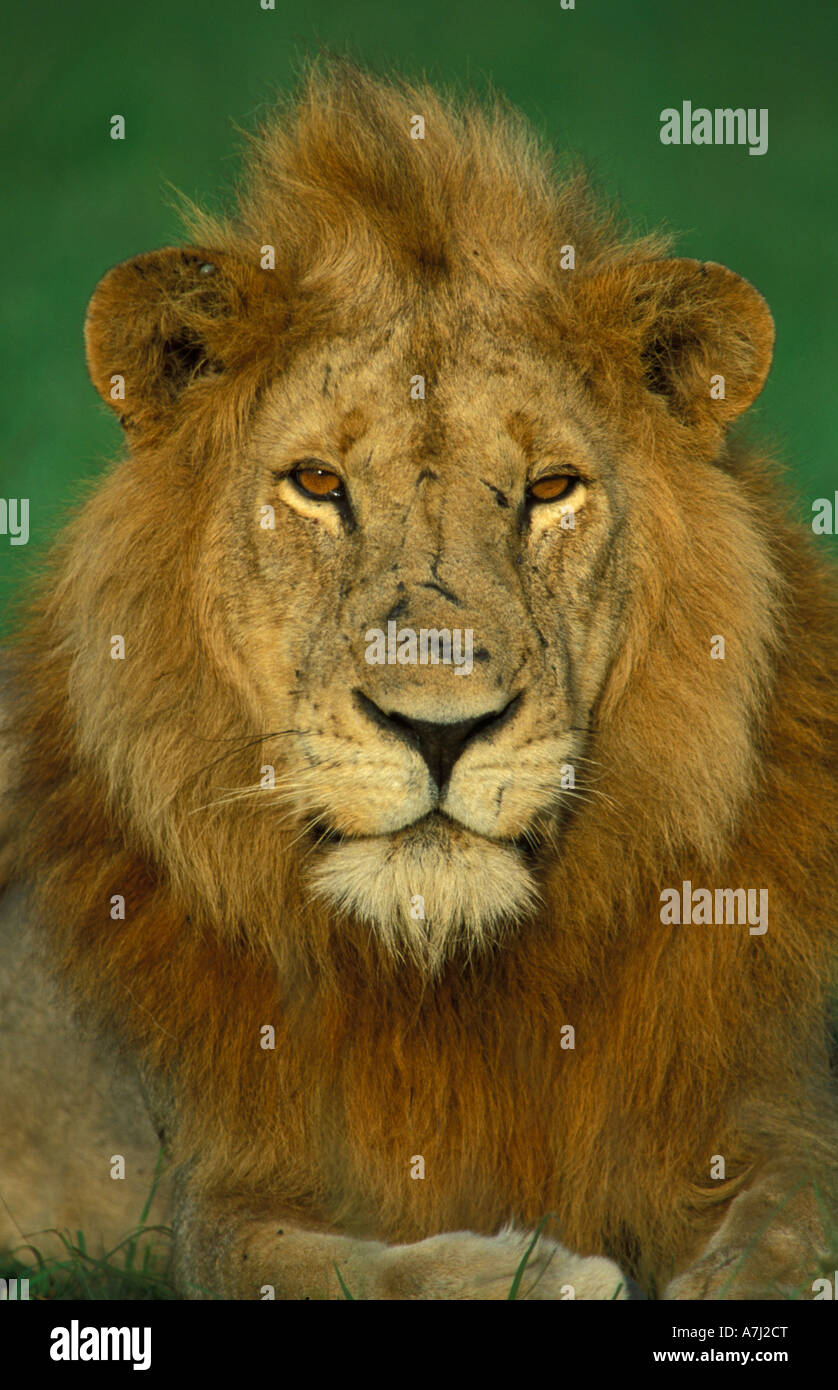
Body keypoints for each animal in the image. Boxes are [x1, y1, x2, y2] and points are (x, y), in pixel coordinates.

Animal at [1, 57, 837, 1301]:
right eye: (315, 483)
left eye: (549, 488)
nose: (439, 730)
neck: (448, 981)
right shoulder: (203, 1190)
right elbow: (278, 1257)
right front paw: (542, 1273)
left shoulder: (778, 1107)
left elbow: (791, 1225)